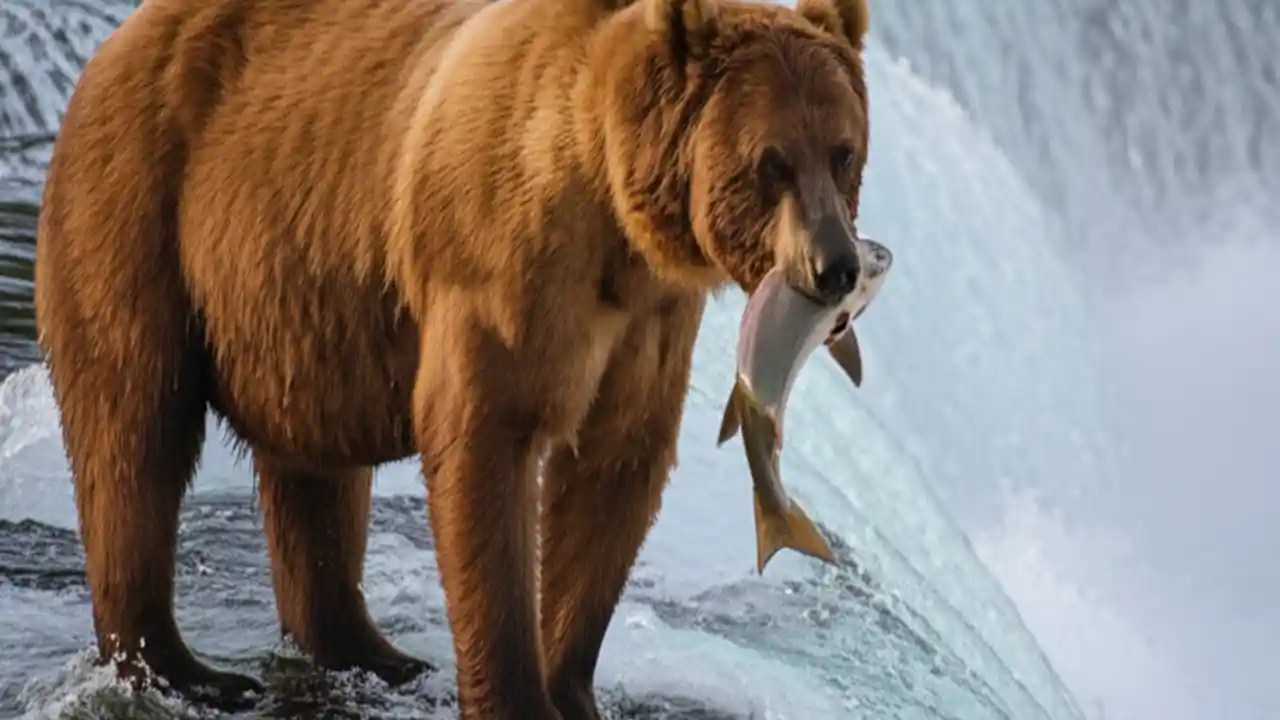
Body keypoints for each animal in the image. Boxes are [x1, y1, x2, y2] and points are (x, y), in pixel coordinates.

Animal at [33, 0, 872, 717]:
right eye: (772, 161)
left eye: (843, 152)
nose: (837, 266)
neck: (614, 216)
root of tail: (117, 43)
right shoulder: (508, 267)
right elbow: (490, 448)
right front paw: (516, 694)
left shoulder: (652, 320)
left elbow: (614, 472)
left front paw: (570, 685)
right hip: (142, 208)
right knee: (134, 431)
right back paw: (186, 668)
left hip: (300, 298)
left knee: (314, 474)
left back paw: (374, 652)